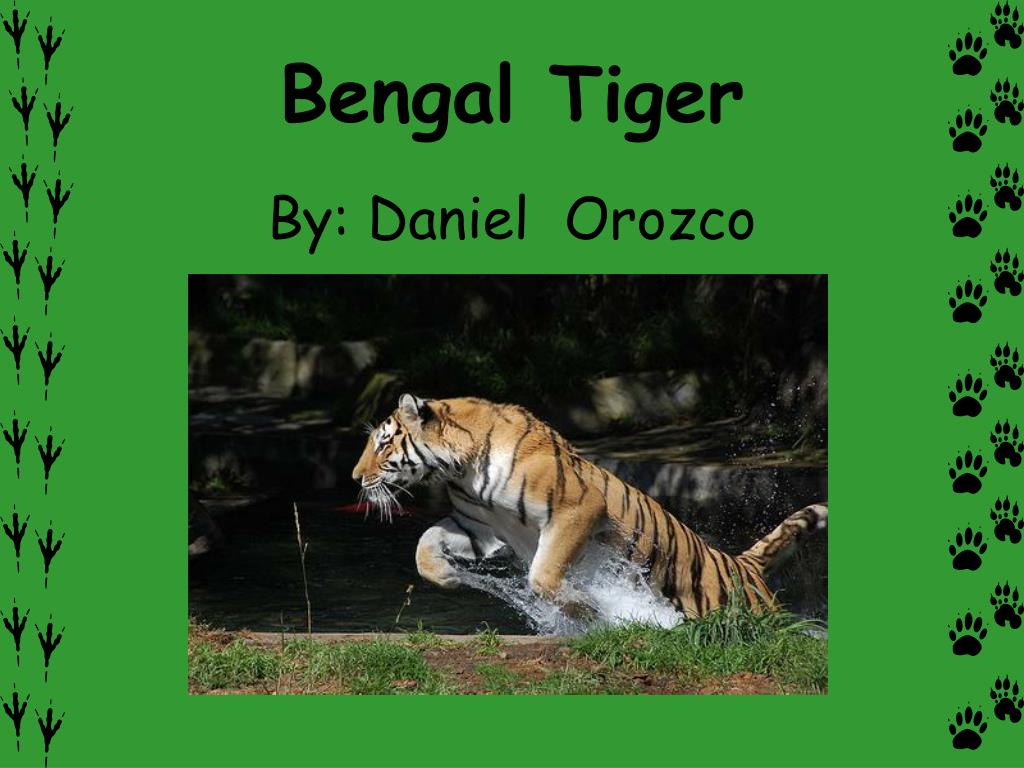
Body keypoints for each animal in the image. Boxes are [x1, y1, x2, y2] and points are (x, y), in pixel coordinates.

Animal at [352, 394, 827, 619]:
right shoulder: (478, 525)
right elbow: (423, 543)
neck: (461, 469)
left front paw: (591, 611)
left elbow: (543, 576)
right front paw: (447, 576)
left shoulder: (577, 508)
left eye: (383, 443)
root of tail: (743, 564)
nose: (356, 477)